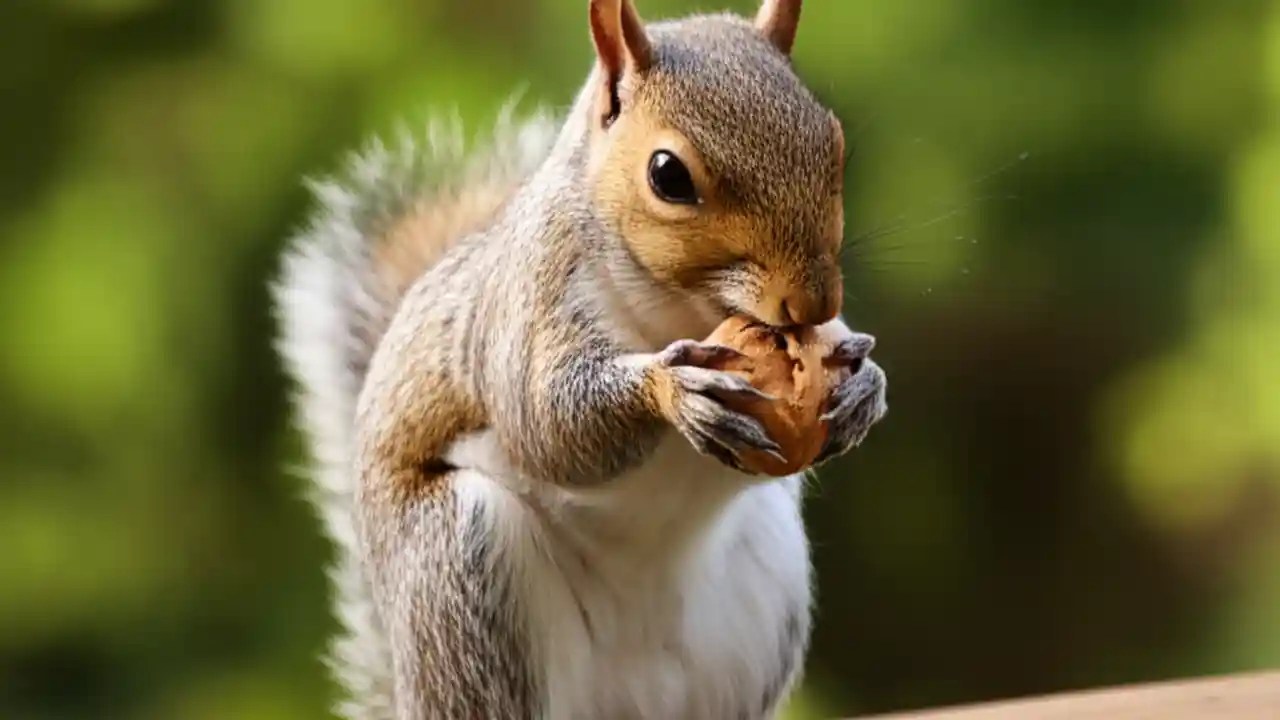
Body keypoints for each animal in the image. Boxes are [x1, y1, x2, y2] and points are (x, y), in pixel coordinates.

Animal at [273, 1, 888, 718]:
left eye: (833, 144)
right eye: (668, 175)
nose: (813, 300)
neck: (685, 308)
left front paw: (864, 386)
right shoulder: (529, 301)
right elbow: (545, 423)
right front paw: (673, 389)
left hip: (763, 594)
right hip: (459, 580)